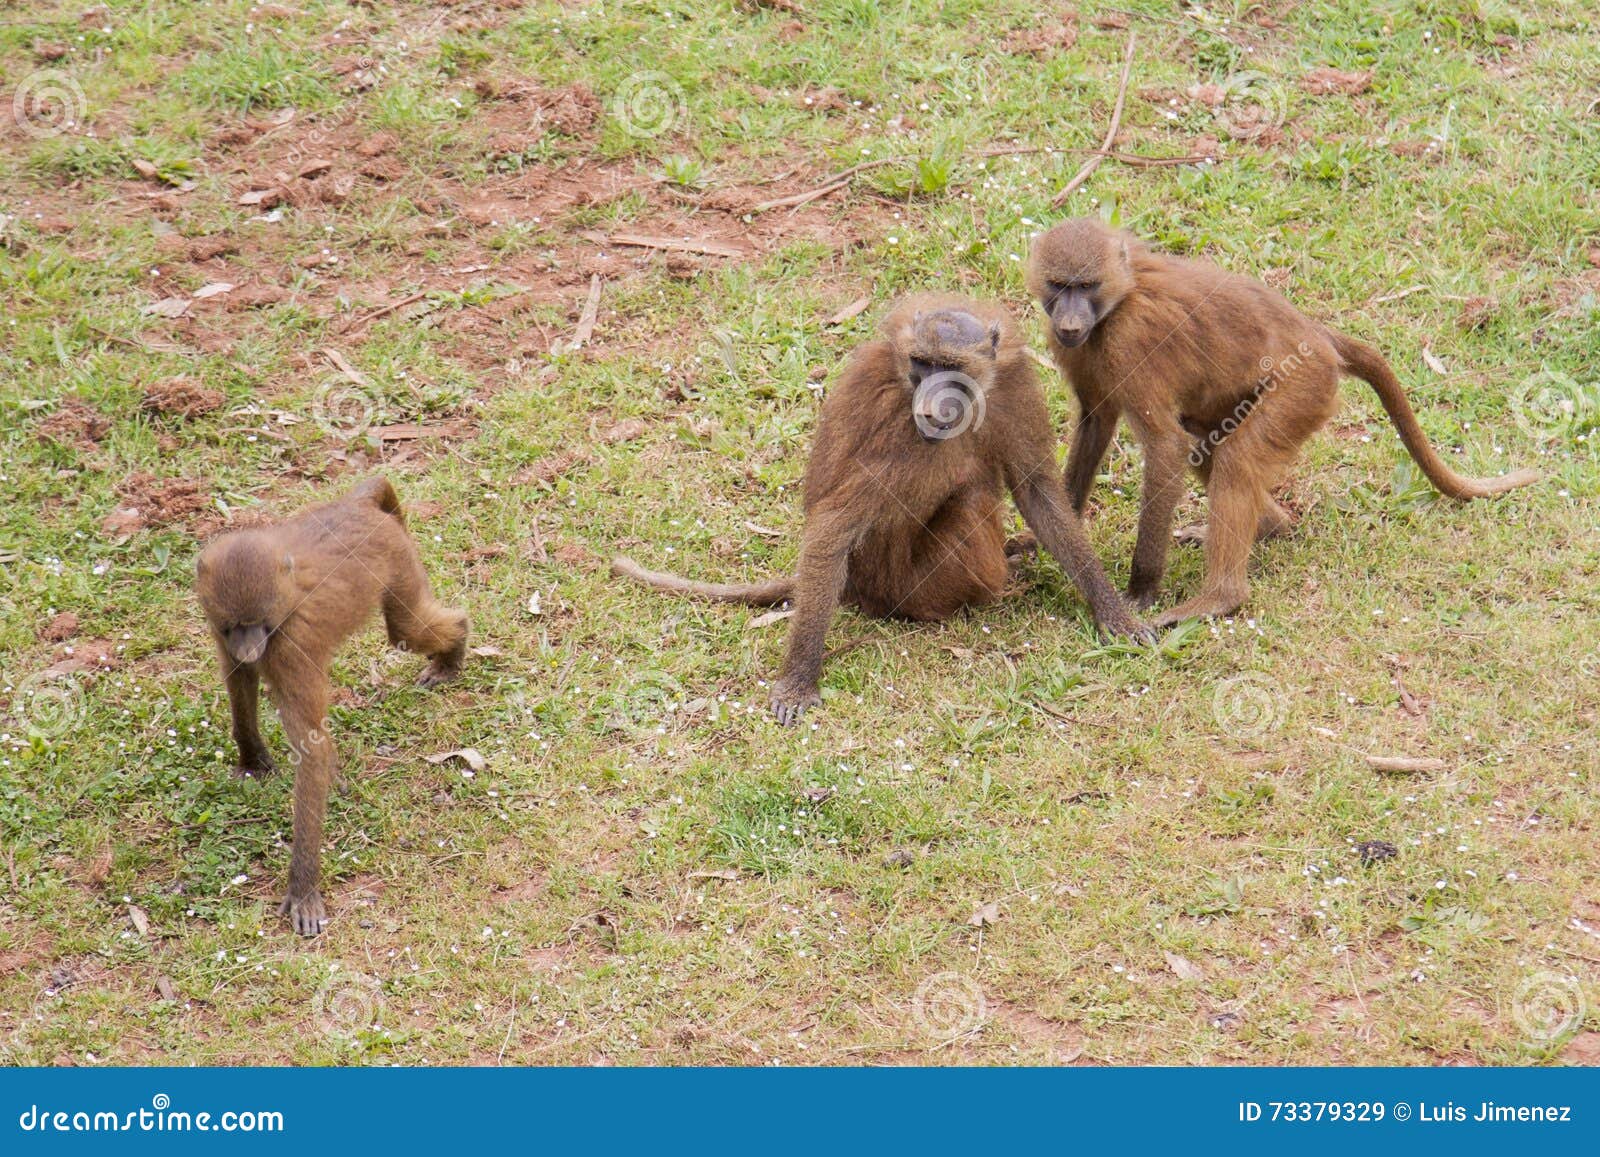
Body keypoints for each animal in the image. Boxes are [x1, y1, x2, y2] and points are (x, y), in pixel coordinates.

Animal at [195, 476, 468, 936]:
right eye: (235, 626)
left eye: (258, 624)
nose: (251, 650)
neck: (286, 597)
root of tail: (357, 506)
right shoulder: (219, 631)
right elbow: (240, 682)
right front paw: (252, 759)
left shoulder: (289, 646)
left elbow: (312, 749)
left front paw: (304, 891)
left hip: (395, 557)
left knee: (407, 631)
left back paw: (455, 649)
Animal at [613, 293, 1154, 725]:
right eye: (922, 363)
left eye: (950, 367)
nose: (932, 407)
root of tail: (858, 585)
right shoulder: (904, 432)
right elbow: (835, 524)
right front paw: (799, 680)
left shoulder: (1012, 385)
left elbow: (1038, 492)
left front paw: (1112, 612)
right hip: (904, 581)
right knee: (966, 498)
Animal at [1025, 217, 1540, 627]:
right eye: (1059, 285)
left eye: (1086, 286)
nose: (1070, 323)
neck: (1118, 300)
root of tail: (1316, 333)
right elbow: (1096, 423)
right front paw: (1042, 539)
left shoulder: (1128, 343)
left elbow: (1166, 446)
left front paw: (1139, 591)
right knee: (1211, 445)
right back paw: (1271, 526)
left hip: (1303, 388)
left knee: (1233, 457)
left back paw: (1220, 598)